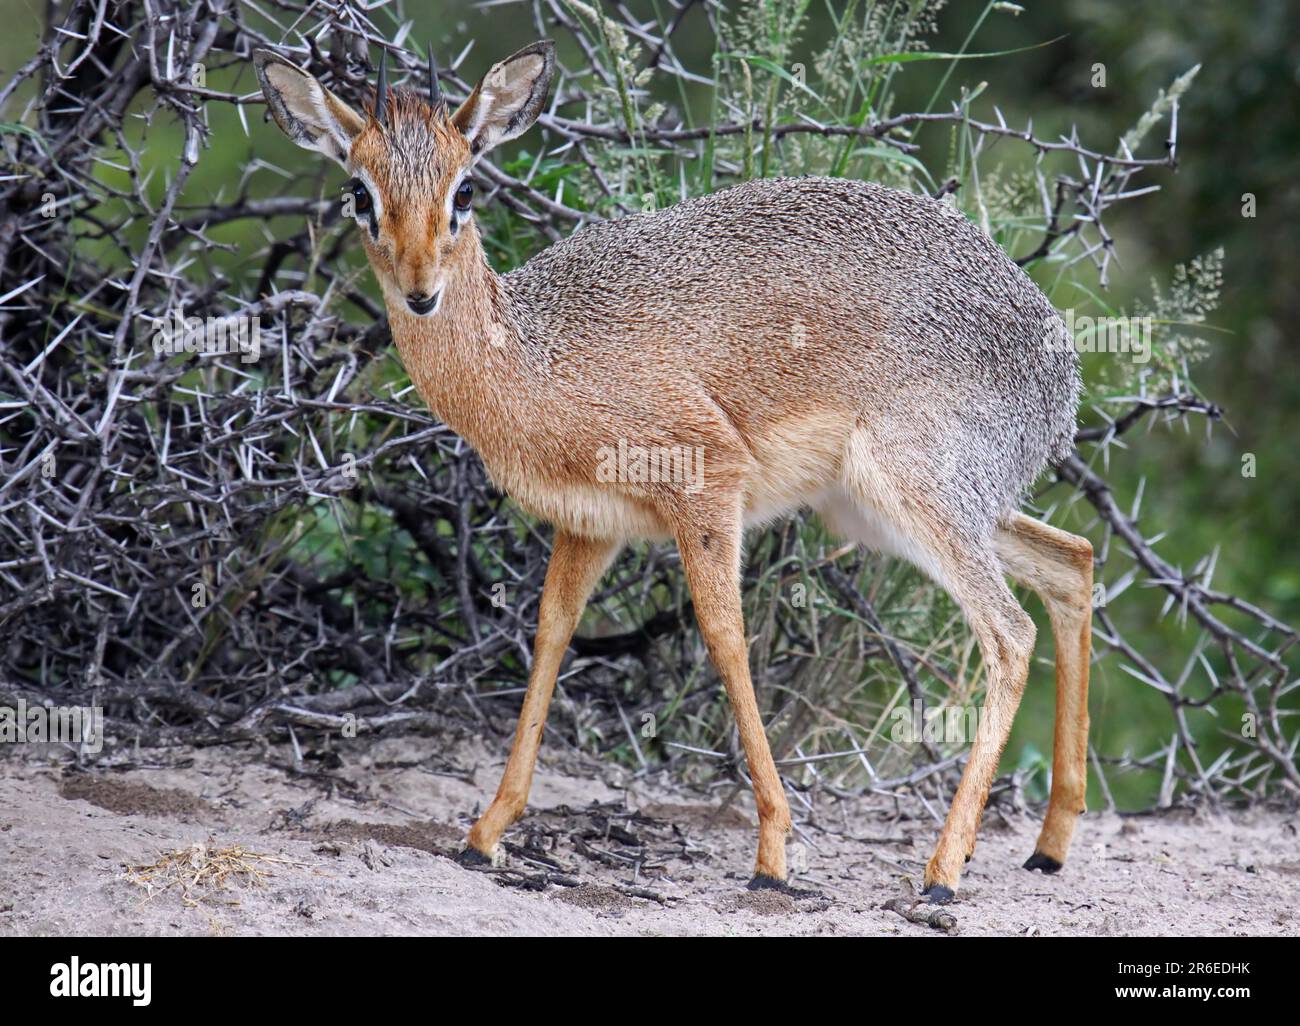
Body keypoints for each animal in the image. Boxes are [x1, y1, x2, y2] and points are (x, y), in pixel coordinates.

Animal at [254, 39, 1094, 902]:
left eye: (467, 187)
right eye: (359, 191)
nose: (421, 290)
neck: (531, 356)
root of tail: (1059, 366)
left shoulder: (706, 486)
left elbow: (724, 636)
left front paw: (772, 853)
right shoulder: (589, 523)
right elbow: (552, 634)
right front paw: (486, 834)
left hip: (917, 495)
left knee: (1011, 632)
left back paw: (941, 872)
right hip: (891, 510)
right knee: (1072, 562)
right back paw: (1048, 844)